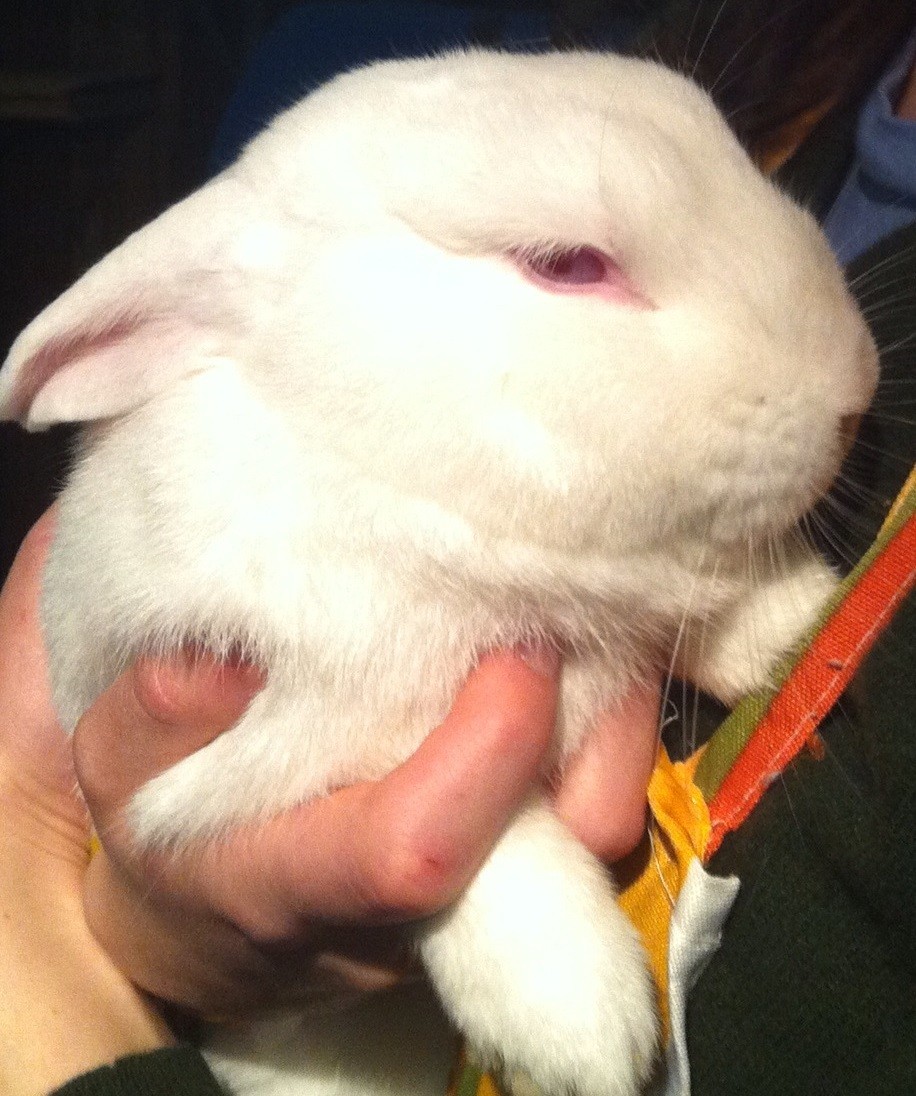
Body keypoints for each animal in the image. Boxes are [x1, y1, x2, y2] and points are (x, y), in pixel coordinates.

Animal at [0, 49, 878, 1096]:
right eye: (565, 264)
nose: (859, 387)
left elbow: (705, 601)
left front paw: (808, 622)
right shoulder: (297, 746)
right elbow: (478, 845)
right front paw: (579, 1023)